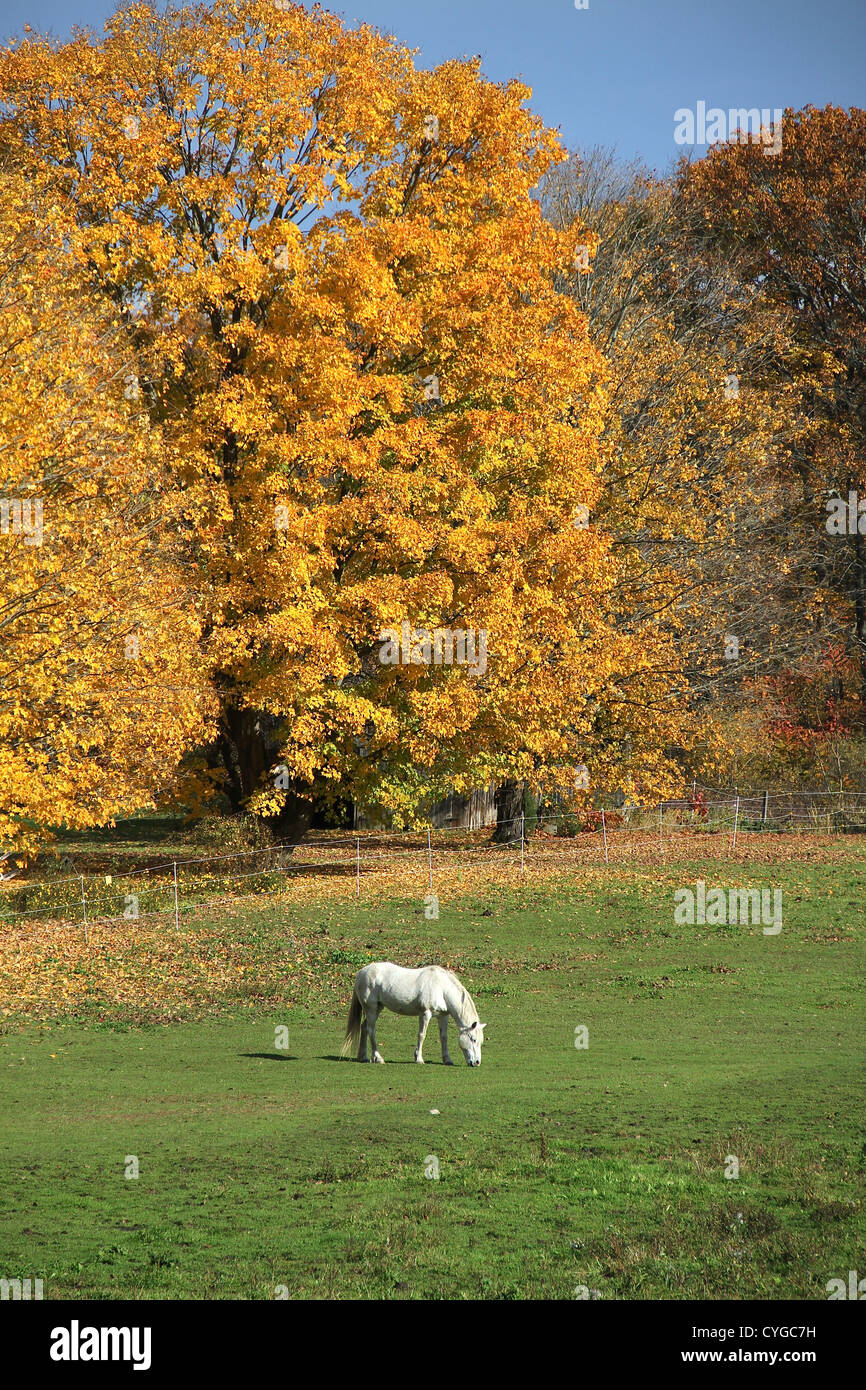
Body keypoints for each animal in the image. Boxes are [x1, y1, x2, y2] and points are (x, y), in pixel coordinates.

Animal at [340, 962, 486, 1066]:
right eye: (473, 1039)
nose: (477, 1062)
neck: (442, 988)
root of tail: (362, 972)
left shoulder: (443, 1016)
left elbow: (444, 1037)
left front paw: (447, 1060)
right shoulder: (425, 1014)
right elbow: (422, 1035)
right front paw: (419, 1059)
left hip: (376, 1009)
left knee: (364, 1028)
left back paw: (363, 1057)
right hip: (371, 1009)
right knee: (371, 1030)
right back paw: (378, 1058)